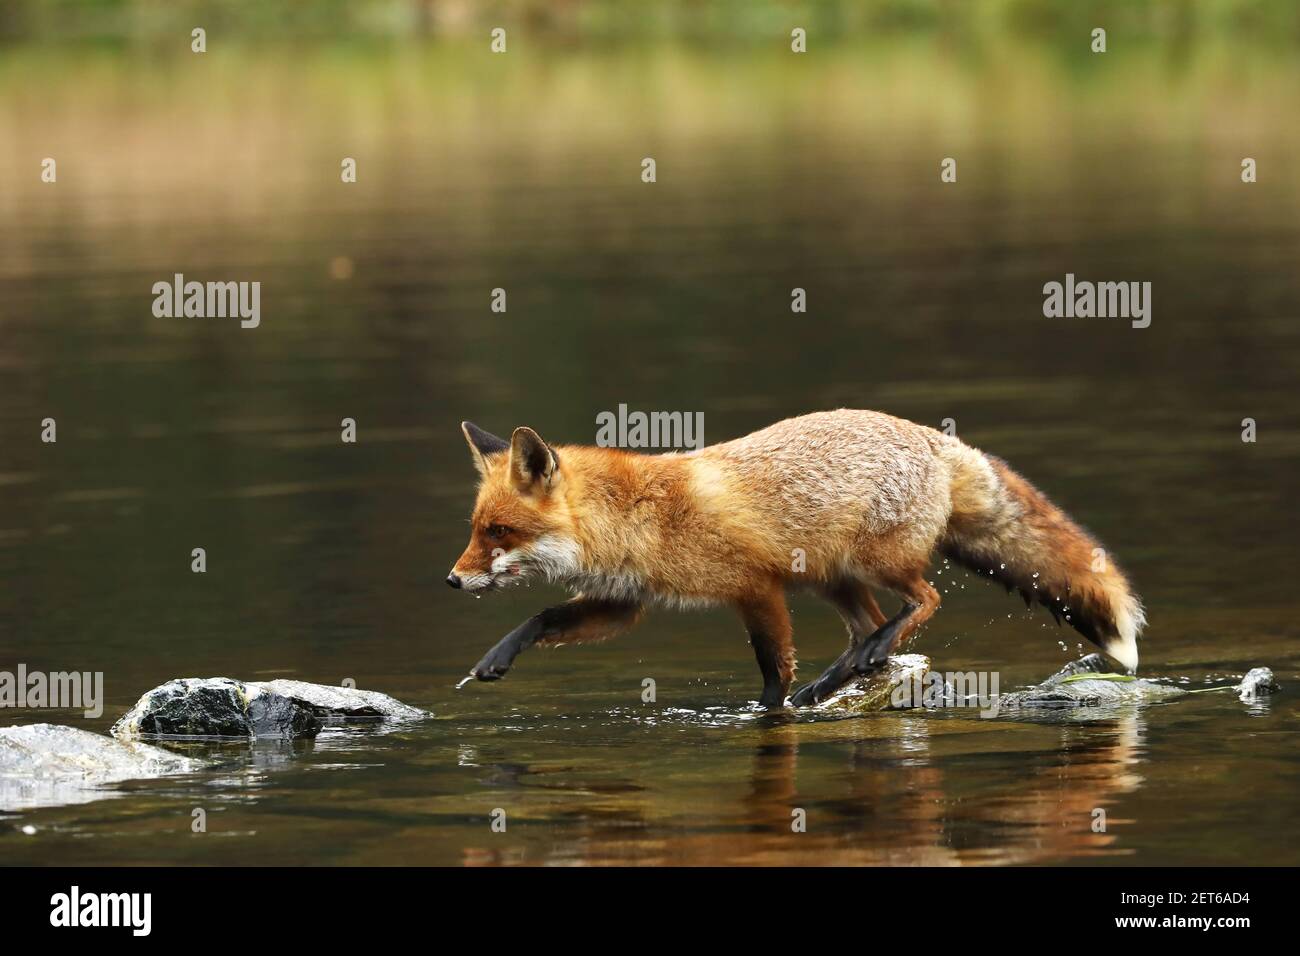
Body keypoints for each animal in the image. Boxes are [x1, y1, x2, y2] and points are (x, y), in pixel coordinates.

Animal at [447, 409, 1145, 708]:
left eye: (500, 531)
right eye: (476, 530)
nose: (452, 580)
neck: (641, 520)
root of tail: (934, 437)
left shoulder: (755, 588)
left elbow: (773, 672)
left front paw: (768, 715)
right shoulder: (628, 603)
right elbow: (540, 618)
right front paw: (493, 659)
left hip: (871, 564)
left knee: (926, 600)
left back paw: (852, 668)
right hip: (832, 581)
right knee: (872, 629)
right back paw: (844, 674)